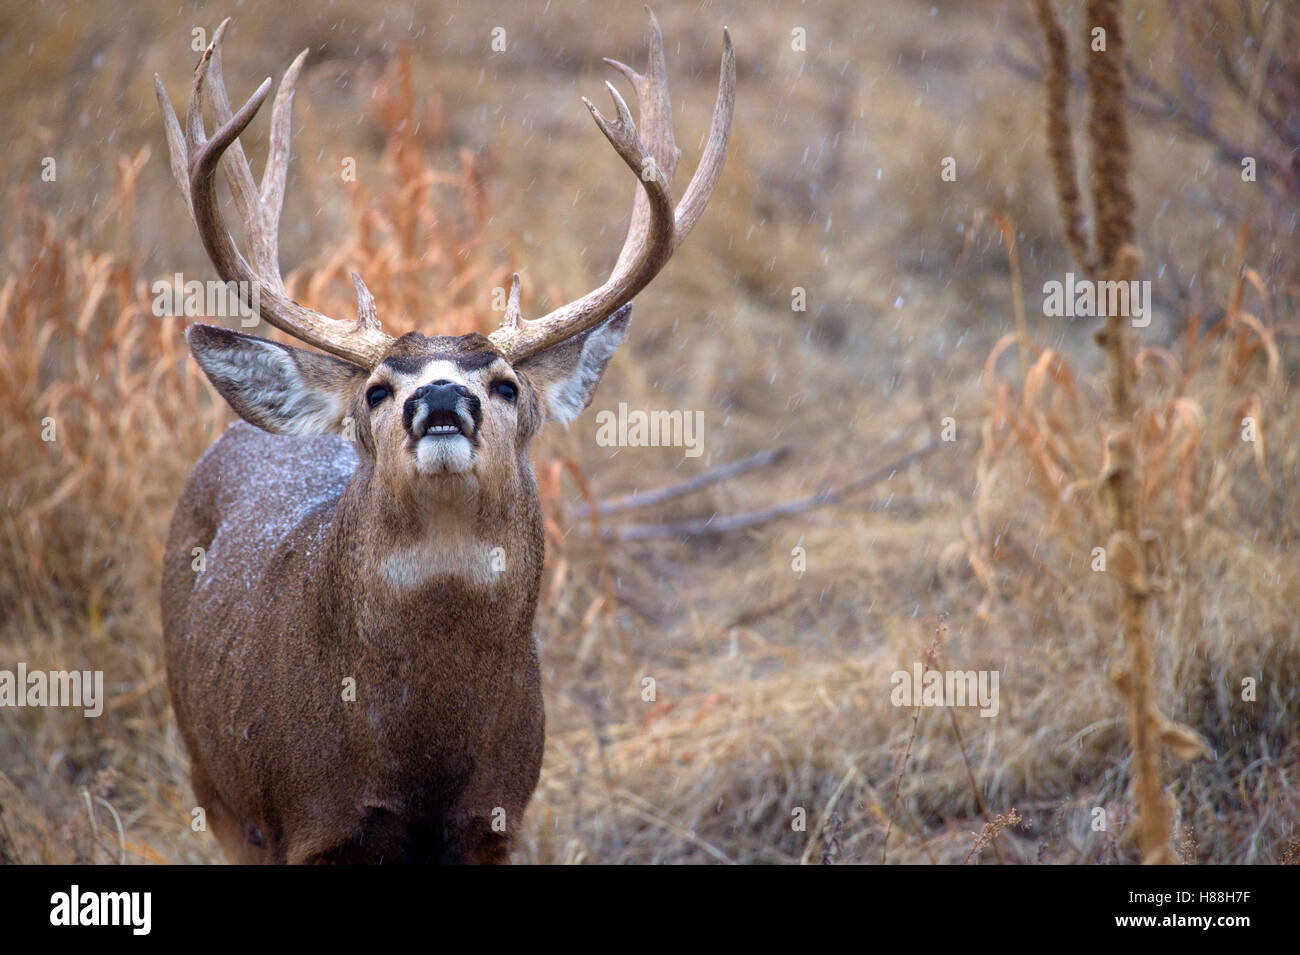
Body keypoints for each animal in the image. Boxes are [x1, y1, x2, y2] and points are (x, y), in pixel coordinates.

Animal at [154, 12, 733, 864]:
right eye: (376, 388)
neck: (423, 752)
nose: (439, 401)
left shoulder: (496, 817)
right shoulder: (309, 820)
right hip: (212, 779)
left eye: (506, 382)